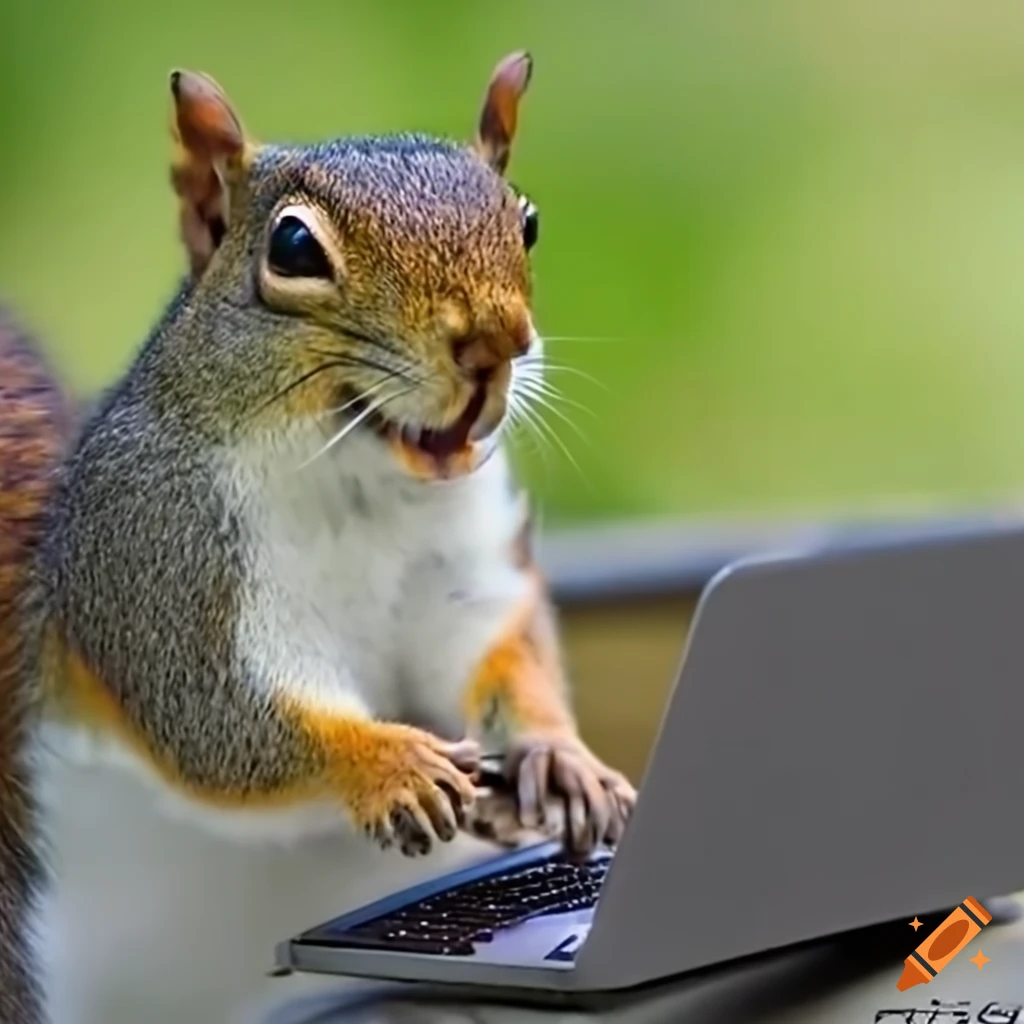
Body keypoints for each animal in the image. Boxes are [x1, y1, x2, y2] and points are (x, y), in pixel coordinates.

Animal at [0, 51, 637, 1022]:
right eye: (294, 250)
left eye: (526, 222)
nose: (496, 340)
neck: (364, 488)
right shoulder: (164, 580)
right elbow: (225, 720)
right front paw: (390, 762)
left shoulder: (466, 577)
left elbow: (497, 655)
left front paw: (561, 757)